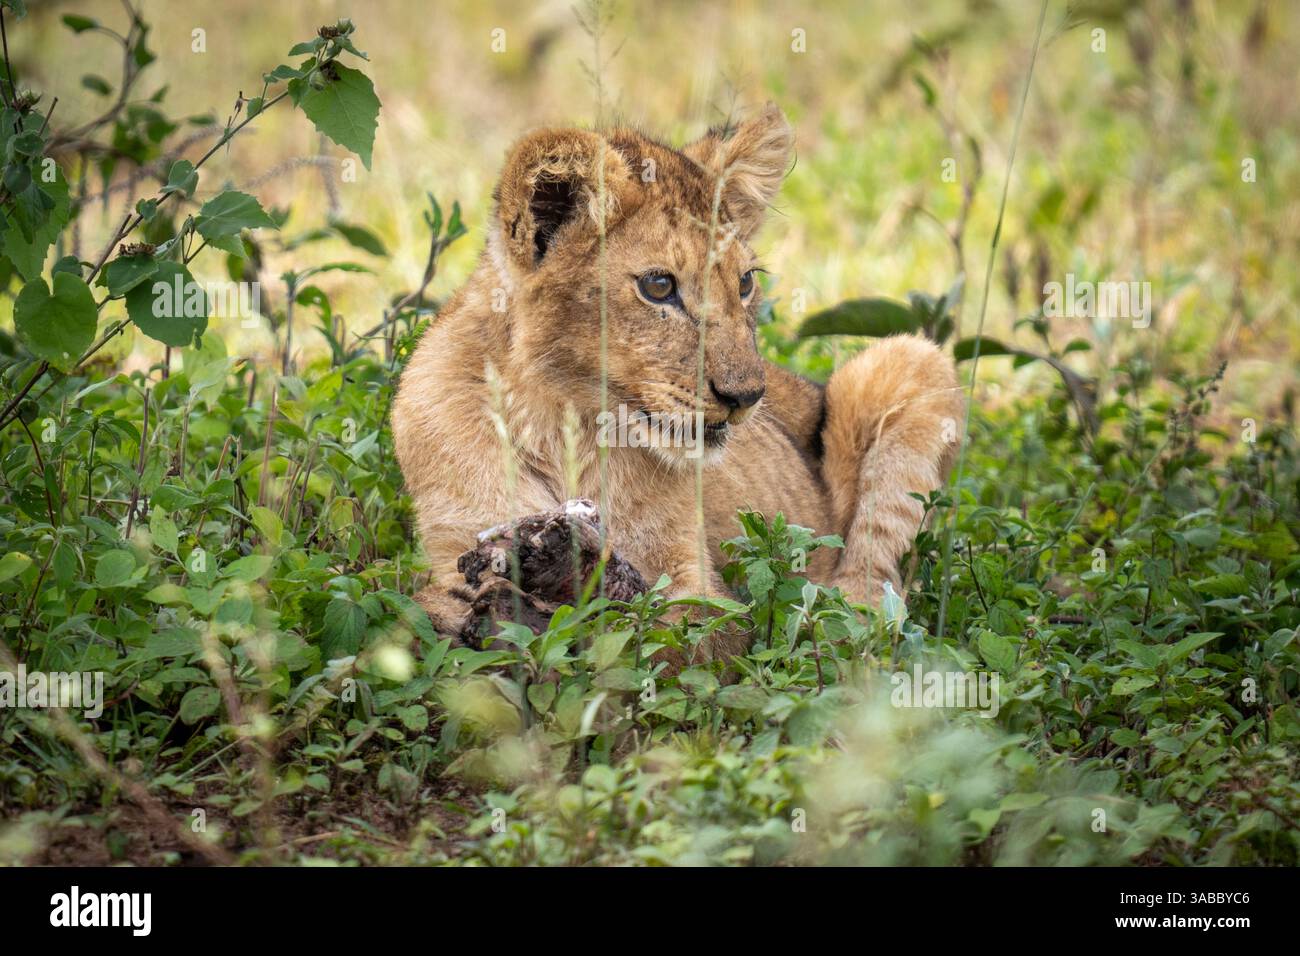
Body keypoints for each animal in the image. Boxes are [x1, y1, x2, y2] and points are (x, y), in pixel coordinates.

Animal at [391, 103, 964, 664]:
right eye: (659, 286)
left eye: (744, 282)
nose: (745, 397)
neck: (565, 425)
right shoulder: (460, 545)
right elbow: (421, 612)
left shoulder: (699, 580)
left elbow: (673, 635)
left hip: (910, 359)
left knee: (872, 589)